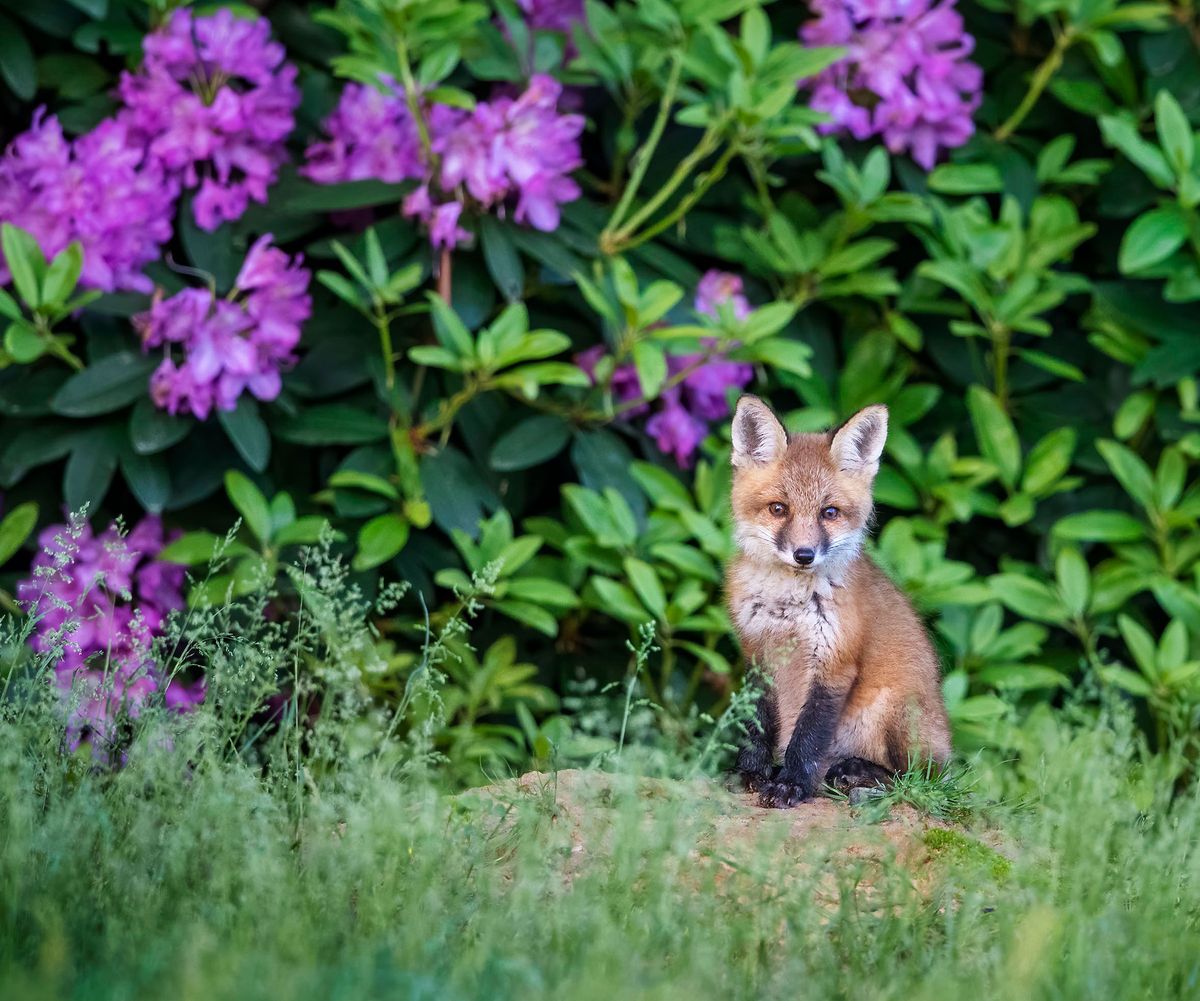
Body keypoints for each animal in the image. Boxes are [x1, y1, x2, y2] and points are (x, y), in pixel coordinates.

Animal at [725, 395, 951, 809]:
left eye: (828, 513)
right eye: (778, 508)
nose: (804, 554)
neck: (787, 607)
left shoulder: (834, 662)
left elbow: (808, 738)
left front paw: (791, 785)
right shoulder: (756, 654)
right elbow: (755, 725)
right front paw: (751, 772)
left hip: (893, 709)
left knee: (920, 780)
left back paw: (858, 773)